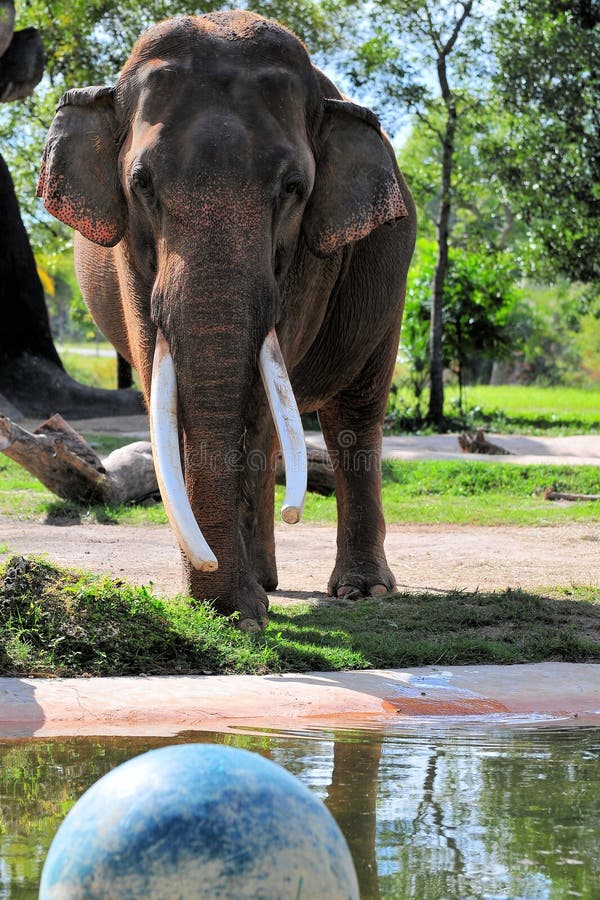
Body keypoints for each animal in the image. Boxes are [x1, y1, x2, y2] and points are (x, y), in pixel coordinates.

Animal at [37, 10, 416, 630]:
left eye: (294, 188)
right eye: (141, 184)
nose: (220, 602)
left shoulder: (309, 259)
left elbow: (258, 392)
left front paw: (238, 608)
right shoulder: (127, 252)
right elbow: (160, 381)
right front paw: (231, 605)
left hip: (389, 279)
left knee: (352, 411)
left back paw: (362, 591)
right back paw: (266, 579)